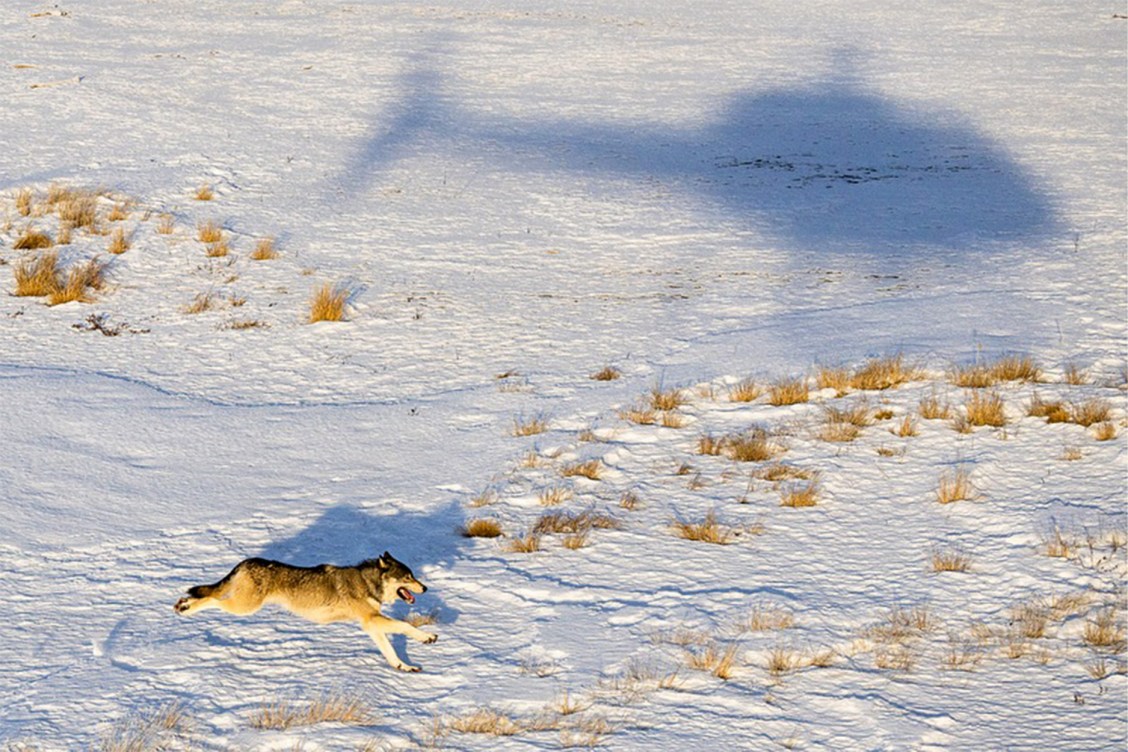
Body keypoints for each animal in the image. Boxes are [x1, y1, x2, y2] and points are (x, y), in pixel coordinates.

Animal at [174, 551, 437, 672]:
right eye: (408, 577)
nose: (425, 587)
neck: (367, 583)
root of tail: (246, 561)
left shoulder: (371, 624)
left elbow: (390, 652)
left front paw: (404, 667)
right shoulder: (371, 619)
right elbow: (405, 625)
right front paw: (428, 637)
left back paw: (182, 603)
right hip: (244, 607)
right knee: (210, 599)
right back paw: (184, 608)